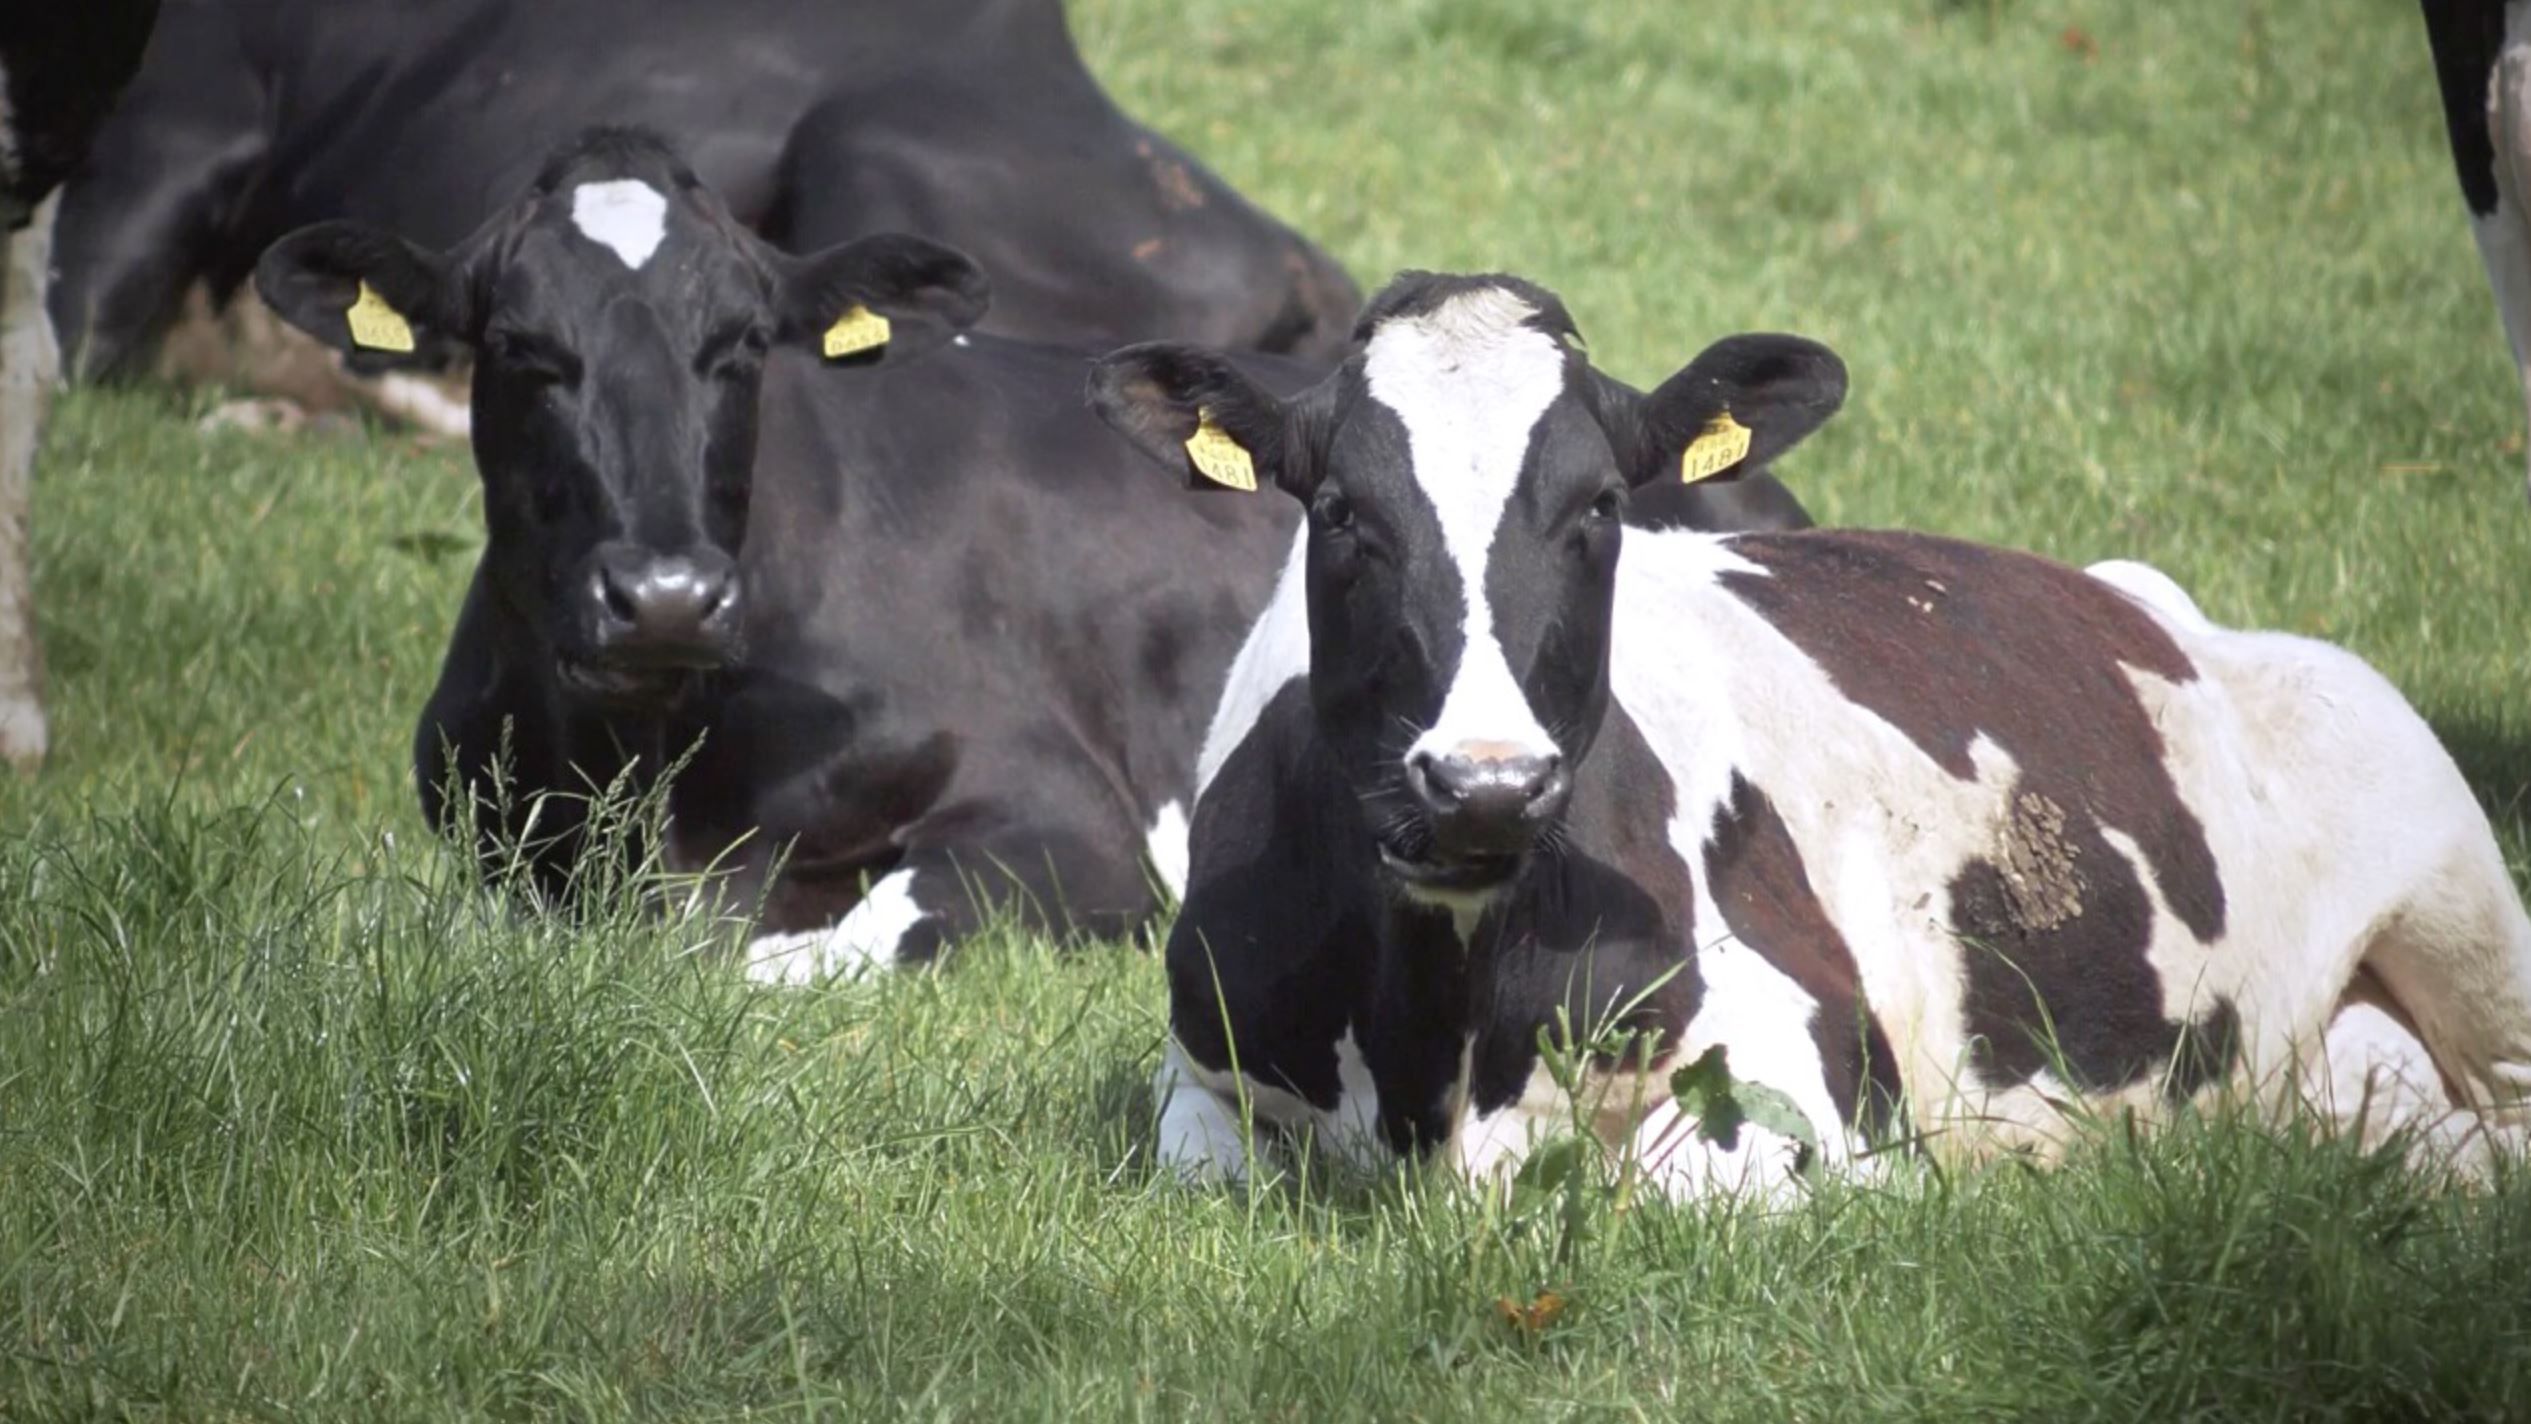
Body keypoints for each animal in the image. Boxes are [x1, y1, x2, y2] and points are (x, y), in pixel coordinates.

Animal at [1089, 272, 2531, 1194]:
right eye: (1339, 511)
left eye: (1600, 505)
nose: (1484, 784)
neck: (1438, 1045)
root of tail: (2151, 597)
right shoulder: (1198, 1082)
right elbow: (1210, 1176)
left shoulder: (1807, 1070)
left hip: (2461, 902)